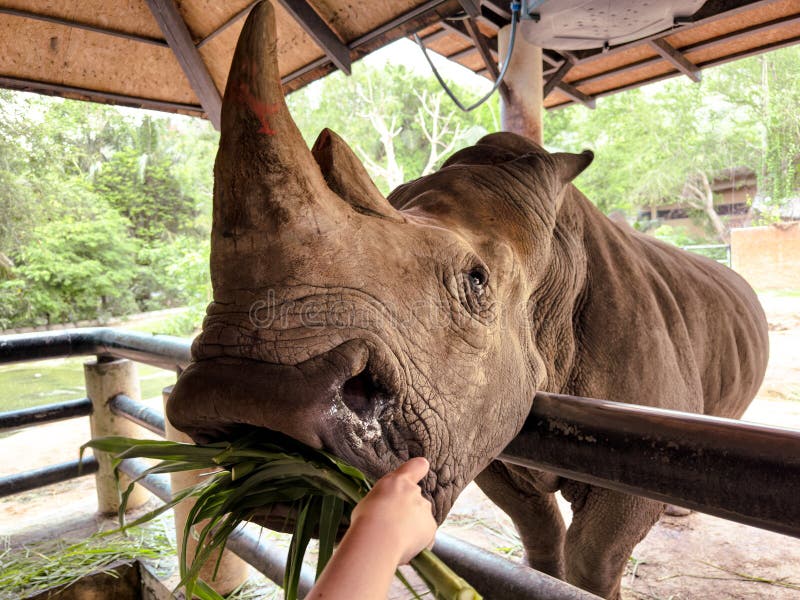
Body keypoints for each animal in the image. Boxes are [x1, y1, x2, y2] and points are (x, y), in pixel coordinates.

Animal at [167, 2, 770, 598]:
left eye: (477, 281)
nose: (250, 397)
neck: (555, 269)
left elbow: (595, 555)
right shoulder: (475, 422)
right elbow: (538, 529)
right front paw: (541, 575)